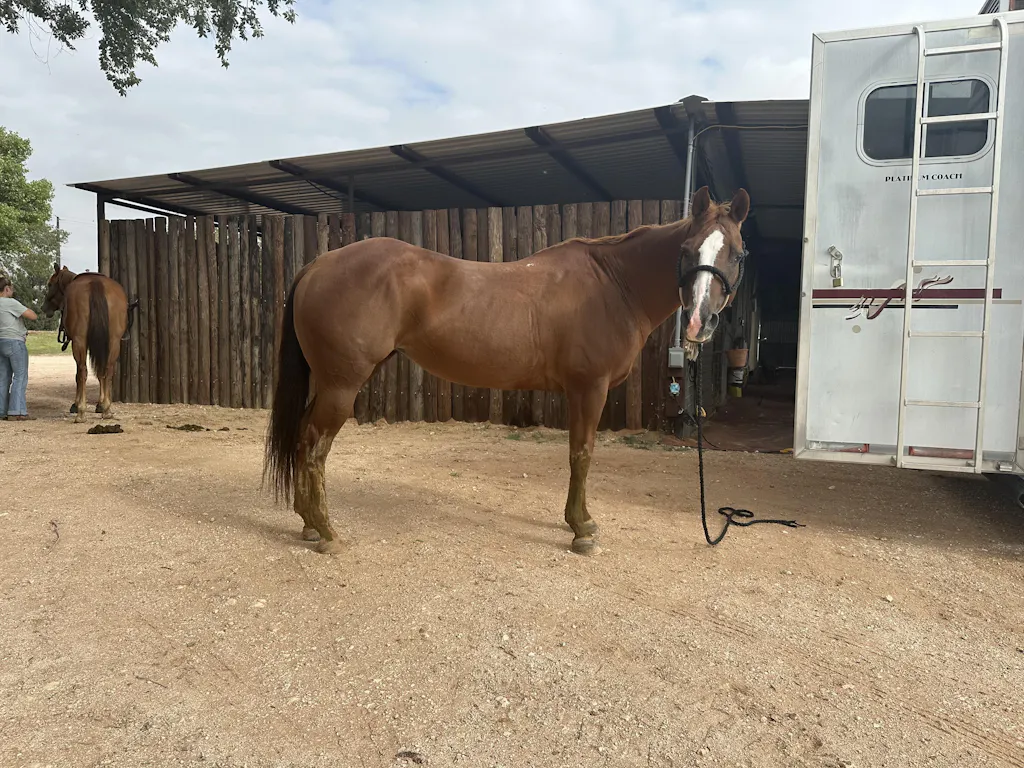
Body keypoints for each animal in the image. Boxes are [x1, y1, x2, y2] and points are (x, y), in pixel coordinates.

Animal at [40, 264, 132, 422]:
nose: (44, 308)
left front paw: (76, 404)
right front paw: (101, 405)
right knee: (107, 370)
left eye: (50, 284)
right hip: (113, 342)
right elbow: (100, 373)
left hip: (79, 341)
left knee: (82, 372)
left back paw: (81, 412)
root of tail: (95, 283)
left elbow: (79, 374)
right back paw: (107, 410)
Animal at [264, 186, 750, 556]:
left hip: (328, 383)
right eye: (686, 250)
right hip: (341, 385)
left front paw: (579, 522)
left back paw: (308, 524)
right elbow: (582, 454)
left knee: (303, 438)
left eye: (738, 254)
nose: (699, 321)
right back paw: (327, 534)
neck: (613, 284)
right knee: (314, 446)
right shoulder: (588, 389)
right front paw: (581, 530)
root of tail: (318, 264)